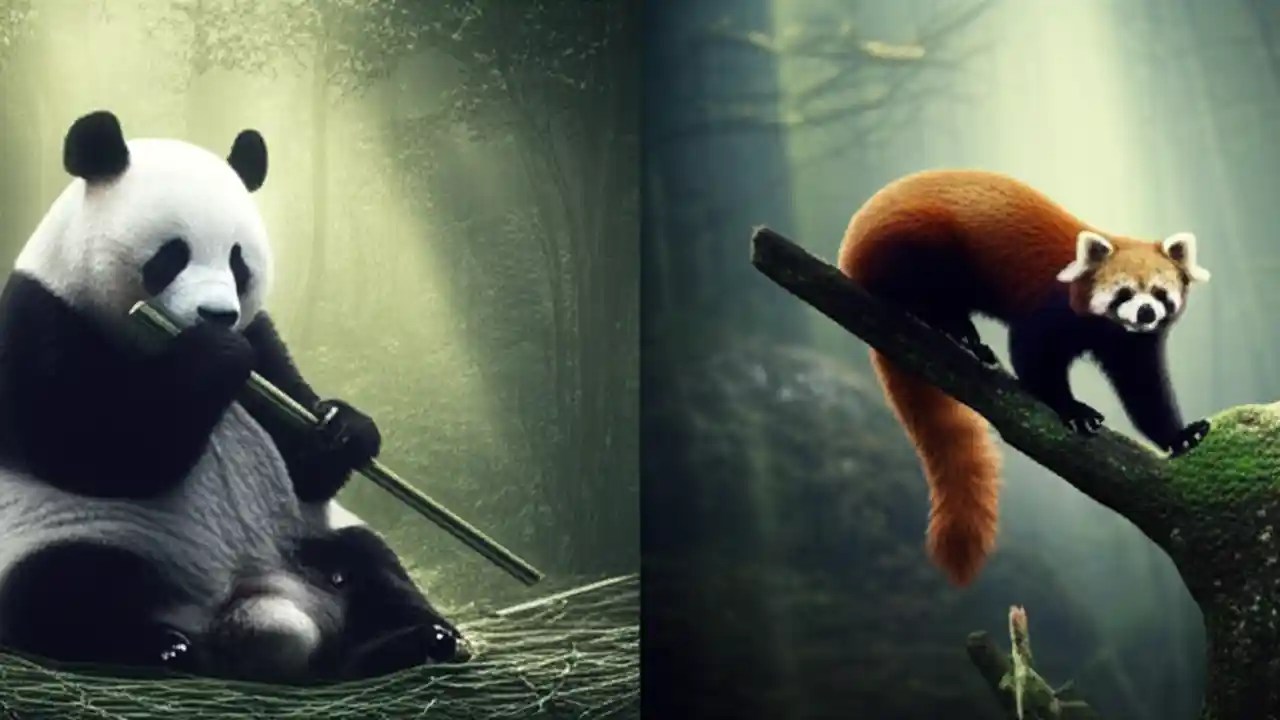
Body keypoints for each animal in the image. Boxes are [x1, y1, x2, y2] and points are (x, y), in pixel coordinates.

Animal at [0, 109, 468, 681]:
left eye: (238, 263)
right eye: (171, 257)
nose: (218, 316)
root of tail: (258, 607)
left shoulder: (262, 337)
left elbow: (305, 464)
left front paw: (344, 428)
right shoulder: (43, 317)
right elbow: (93, 447)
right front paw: (214, 357)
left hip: (308, 534)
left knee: (373, 565)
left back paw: (417, 641)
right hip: (67, 534)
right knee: (65, 590)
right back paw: (163, 649)